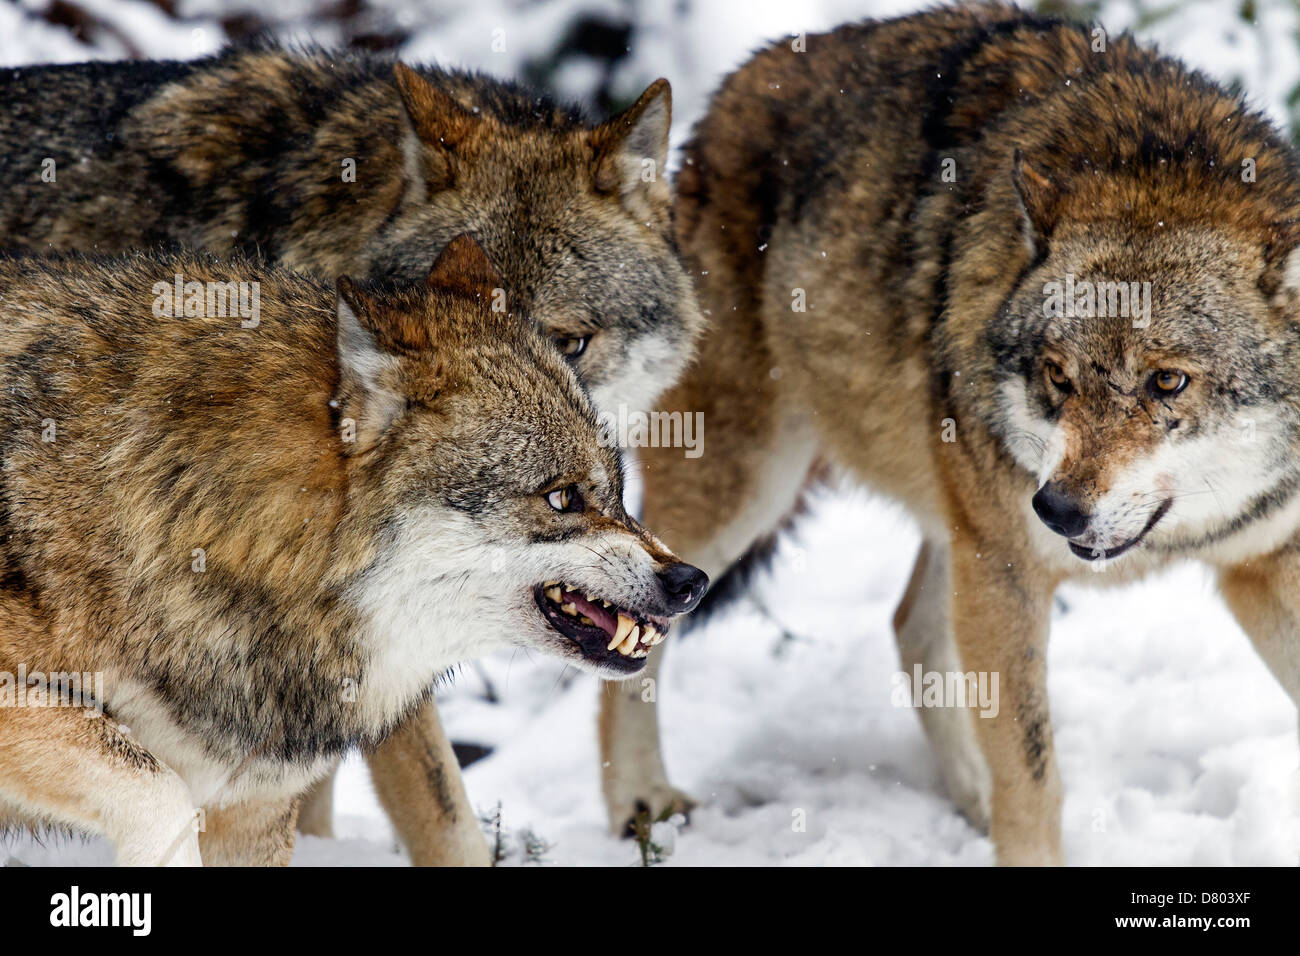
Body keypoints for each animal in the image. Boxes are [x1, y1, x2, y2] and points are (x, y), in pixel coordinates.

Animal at [598, 1, 1300, 863]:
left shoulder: (1266, 563)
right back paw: (641, 802)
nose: (1056, 511)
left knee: (909, 627)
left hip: (954, 521)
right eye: (1057, 376)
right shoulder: (1009, 569)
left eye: (1168, 381)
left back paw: (969, 798)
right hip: (752, 491)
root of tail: (737, 82)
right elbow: (1035, 781)